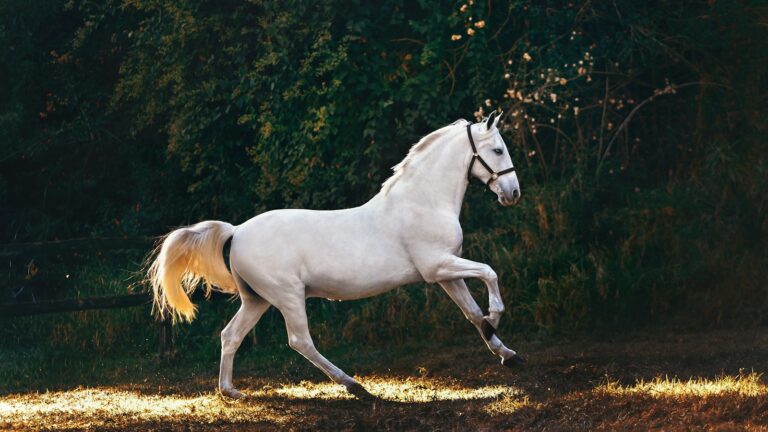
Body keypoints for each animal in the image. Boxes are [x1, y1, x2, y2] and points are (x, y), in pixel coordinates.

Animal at [147, 111, 523, 400]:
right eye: (498, 150)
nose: (513, 193)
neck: (424, 202)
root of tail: (237, 231)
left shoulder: (447, 273)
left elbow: (472, 313)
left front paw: (506, 353)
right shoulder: (438, 267)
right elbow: (489, 273)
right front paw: (496, 317)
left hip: (257, 299)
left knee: (231, 335)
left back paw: (231, 391)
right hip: (288, 296)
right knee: (300, 341)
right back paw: (354, 386)